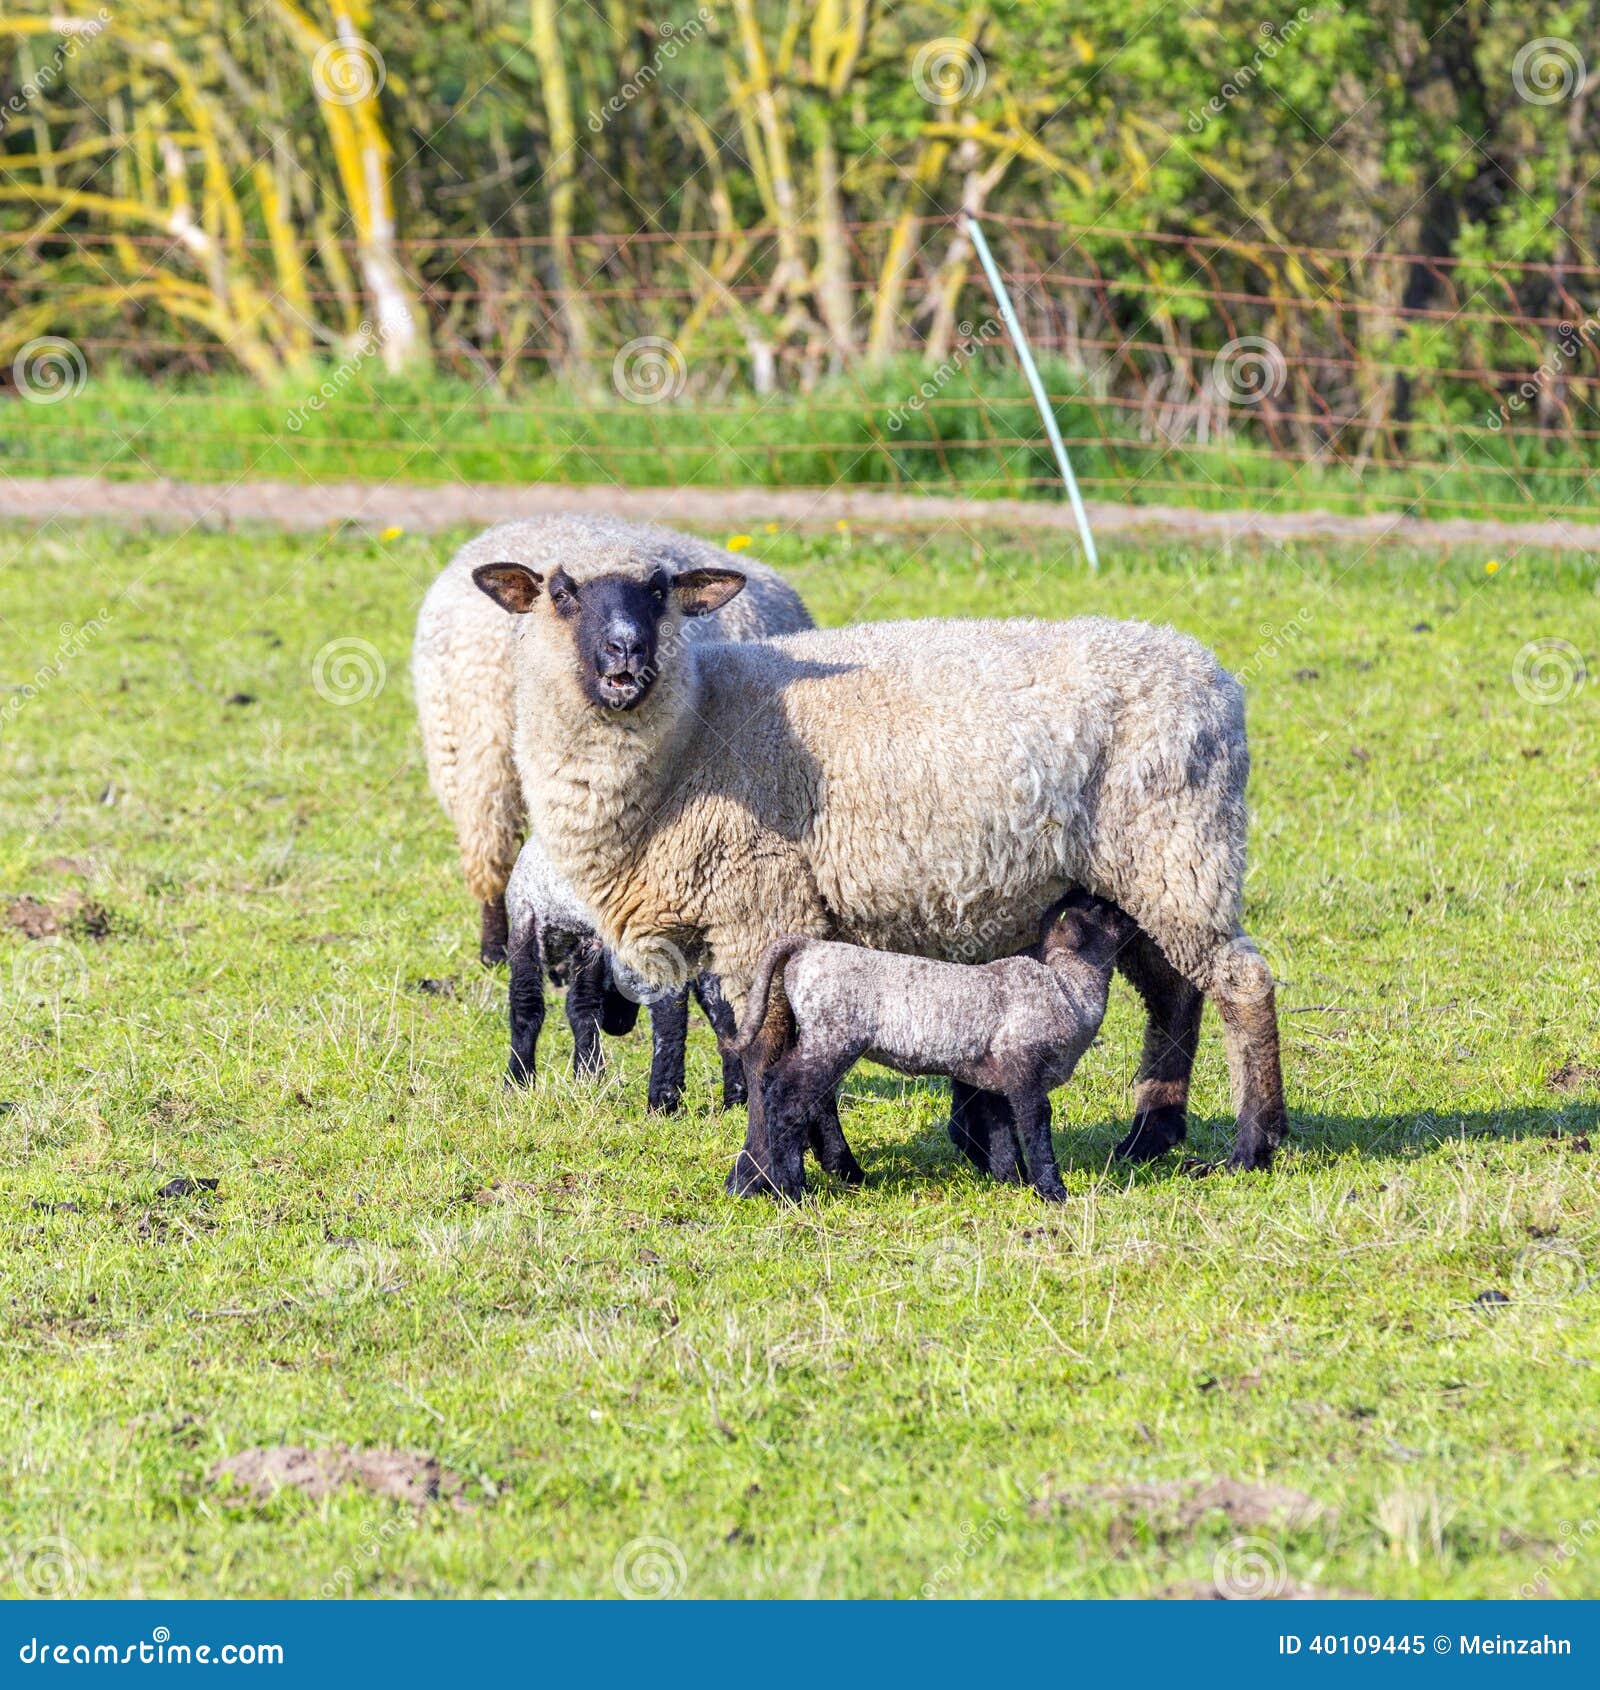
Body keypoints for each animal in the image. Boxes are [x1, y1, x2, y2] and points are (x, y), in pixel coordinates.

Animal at [504, 832, 746, 1114]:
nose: (618, 1026)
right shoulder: (591, 939)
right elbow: (583, 1008)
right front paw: (588, 1076)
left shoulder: (527, 920)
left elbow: (528, 1005)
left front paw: (517, 1080)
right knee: (722, 1012)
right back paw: (735, 1099)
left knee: (670, 1010)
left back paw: (662, 1100)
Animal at [736, 891, 1133, 1202]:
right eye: (1100, 907)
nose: (1128, 911)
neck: (1067, 987)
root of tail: (808, 947)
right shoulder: (1024, 1065)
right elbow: (1035, 1124)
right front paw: (1051, 1191)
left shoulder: (995, 1076)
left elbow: (1000, 1129)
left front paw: (1012, 1181)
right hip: (833, 1037)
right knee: (787, 1098)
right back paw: (792, 1189)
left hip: (821, 1038)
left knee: (779, 1084)